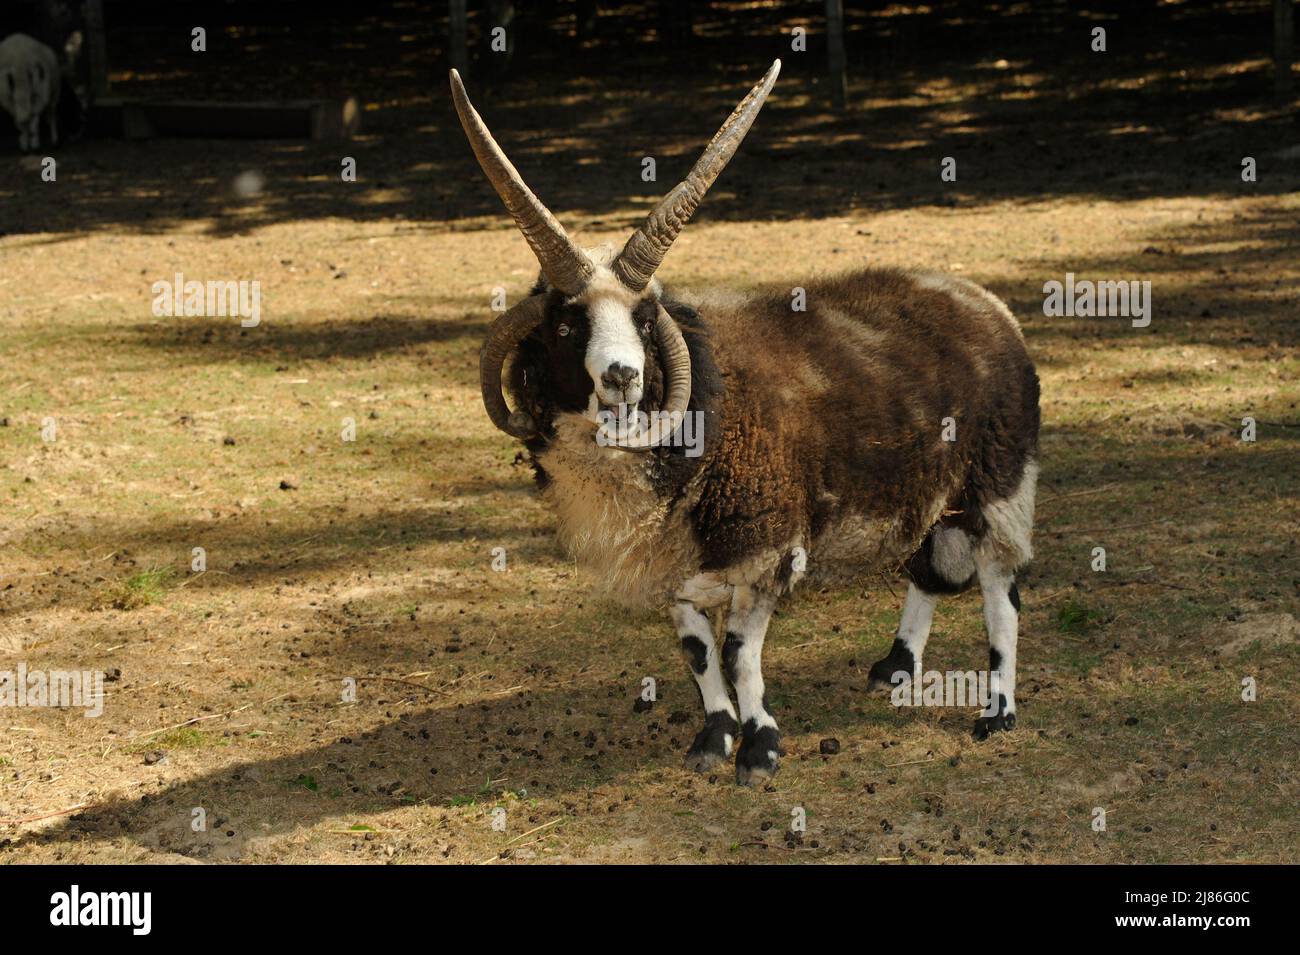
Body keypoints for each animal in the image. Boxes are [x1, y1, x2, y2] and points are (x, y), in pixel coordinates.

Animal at [451, 60, 1041, 785]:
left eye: (643, 321)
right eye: (566, 325)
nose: (621, 376)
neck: (710, 407)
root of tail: (983, 303)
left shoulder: (766, 548)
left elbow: (738, 654)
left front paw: (760, 750)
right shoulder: (671, 564)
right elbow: (699, 655)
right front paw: (714, 739)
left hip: (998, 482)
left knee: (1000, 593)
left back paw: (997, 711)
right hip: (931, 496)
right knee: (929, 571)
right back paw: (896, 669)